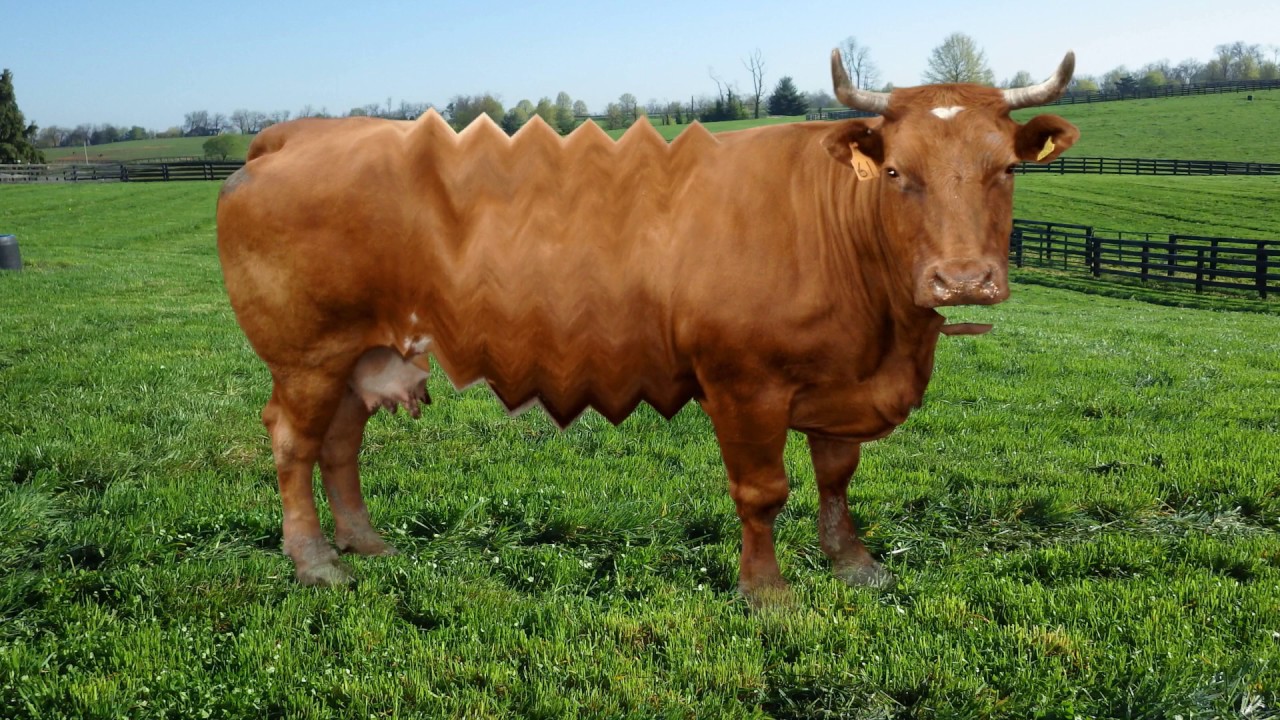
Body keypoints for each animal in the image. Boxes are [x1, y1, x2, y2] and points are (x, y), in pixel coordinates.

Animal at [215, 48, 1079, 602]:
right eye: (898, 171)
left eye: (1006, 167)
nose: (962, 279)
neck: (887, 333)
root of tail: (299, 132)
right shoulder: (743, 383)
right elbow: (763, 489)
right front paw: (765, 592)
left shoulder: (839, 384)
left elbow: (837, 476)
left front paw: (853, 562)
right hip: (307, 355)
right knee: (293, 445)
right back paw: (315, 562)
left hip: (361, 351)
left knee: (340, 443)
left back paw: (362, 540)